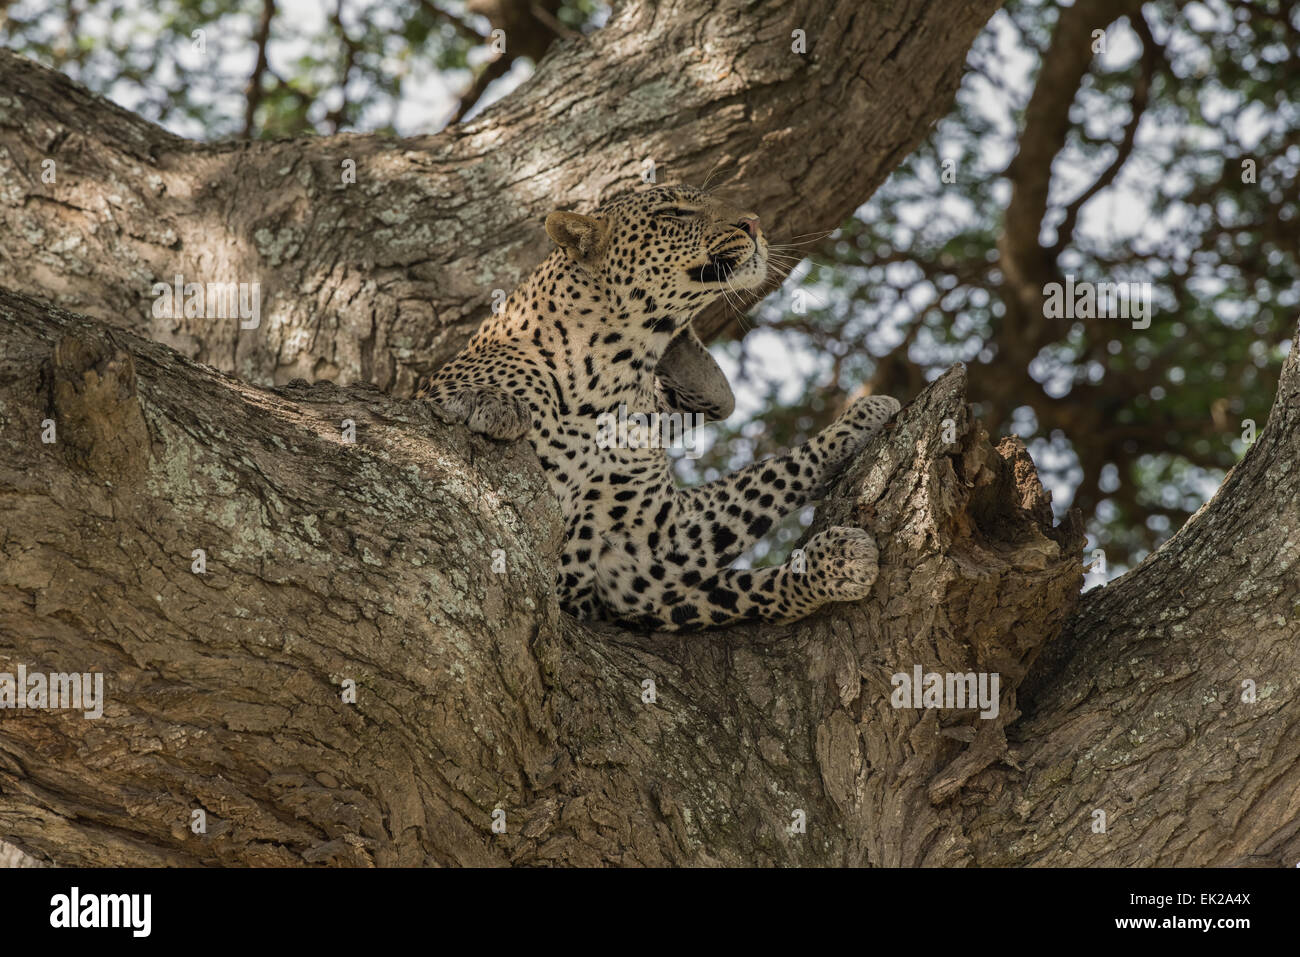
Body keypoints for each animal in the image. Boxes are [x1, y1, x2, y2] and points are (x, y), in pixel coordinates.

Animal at [419, 184, 901, 631]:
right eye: (673, 213)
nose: (754, 223)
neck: (616, 371)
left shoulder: (649, 552)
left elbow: (767, 479)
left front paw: (857, 429)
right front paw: (492, 403)